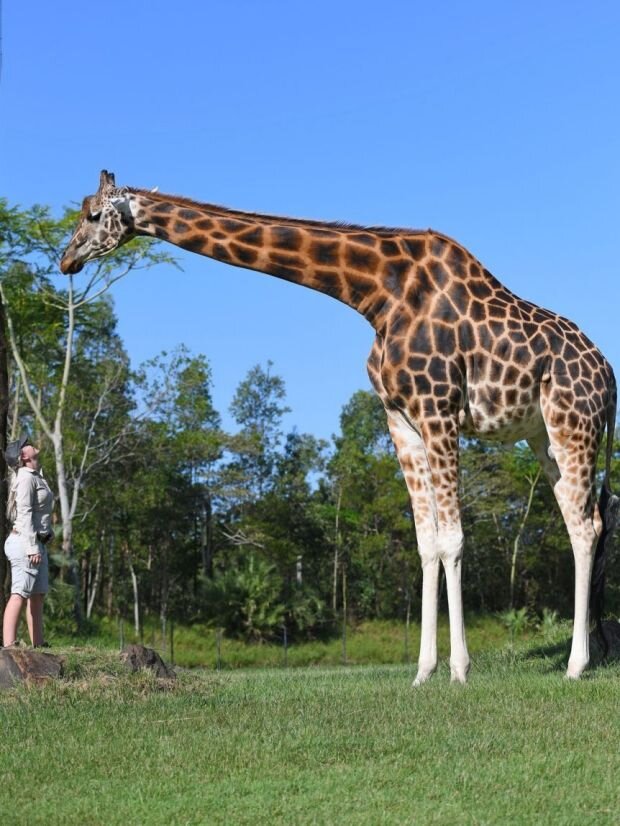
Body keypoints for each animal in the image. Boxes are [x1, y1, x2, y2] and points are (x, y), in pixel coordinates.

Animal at [60, 169, 616, 684]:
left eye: (93, 214)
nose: (66, 260)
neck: (376, 294)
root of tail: (608, 376)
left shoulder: (438, 407)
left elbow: (454, 539)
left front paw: (460, 670)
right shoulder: (400, 418)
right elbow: (427, 542)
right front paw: (423, 672)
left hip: (573, 424)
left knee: (585, 526)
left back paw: (576, 665)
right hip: (543, 437)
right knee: (582, 521)